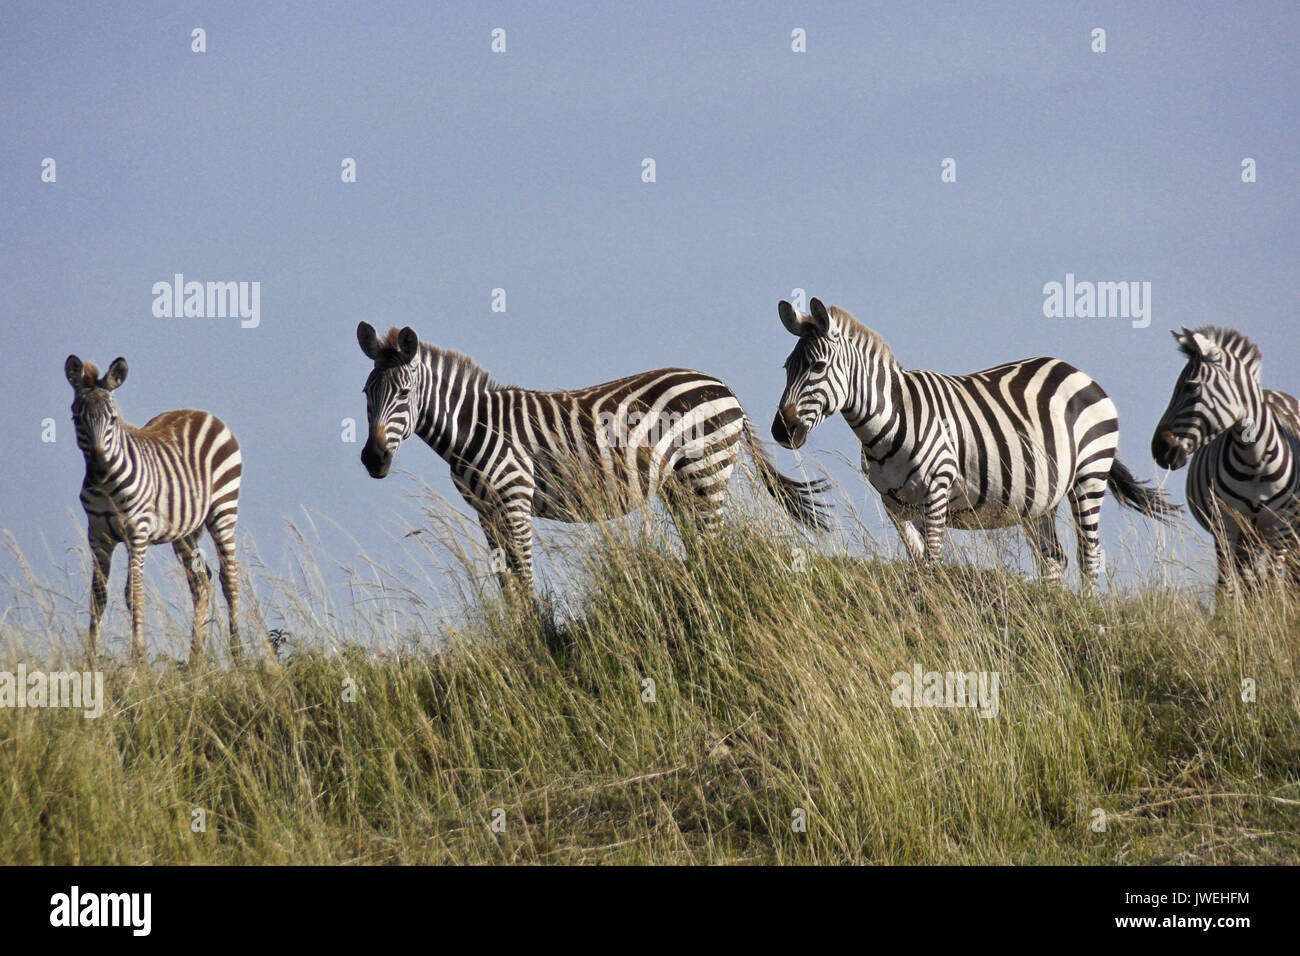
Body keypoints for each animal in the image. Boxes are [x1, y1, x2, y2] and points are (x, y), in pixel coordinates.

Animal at [65, 355, 260, 663]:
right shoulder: (97, 535)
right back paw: (195, 660)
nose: (97, 471)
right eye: (76, 419)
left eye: (112, 419)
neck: (108, 484)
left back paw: (238, 655)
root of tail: (201, 412)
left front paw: (137, 659)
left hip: (223, 510)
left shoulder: (137, 531)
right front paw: (90, 660)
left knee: (229, 579)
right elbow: (98, 595)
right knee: (200, 583)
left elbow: (135, 592)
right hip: (185, 531)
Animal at [356, 322, 829, 590]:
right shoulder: (486, 512)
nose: (373, 460)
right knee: (700, 548)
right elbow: (506, 585)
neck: (474, 429)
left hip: (706, 470)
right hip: (680, 486)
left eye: (403, 393)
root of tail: (723, 386)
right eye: (365, 393)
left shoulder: (514, 499)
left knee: (714, 547)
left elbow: (524, 578)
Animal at [770, 297, 1180, 590]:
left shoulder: (936, 489)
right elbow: (917, 560)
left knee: (1089, 557)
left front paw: (931, 612)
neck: (890, 418)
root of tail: (1077, 372)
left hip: (1089, 476)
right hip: (1040, 495)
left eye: (818, 367)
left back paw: (1088, 617)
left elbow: (933, 561)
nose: (781, 431)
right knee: (1053, 560)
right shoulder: (894, 504)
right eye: (786, 367)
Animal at [1151, 326, 1300, 598]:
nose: (1159, 448)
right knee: (1250, 580)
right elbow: (1226, 586)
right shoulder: (1226, 524)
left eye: (1191, 387)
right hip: (1248, 538)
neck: (1255, 461)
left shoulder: (1280, 526)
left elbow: (1275, 584)